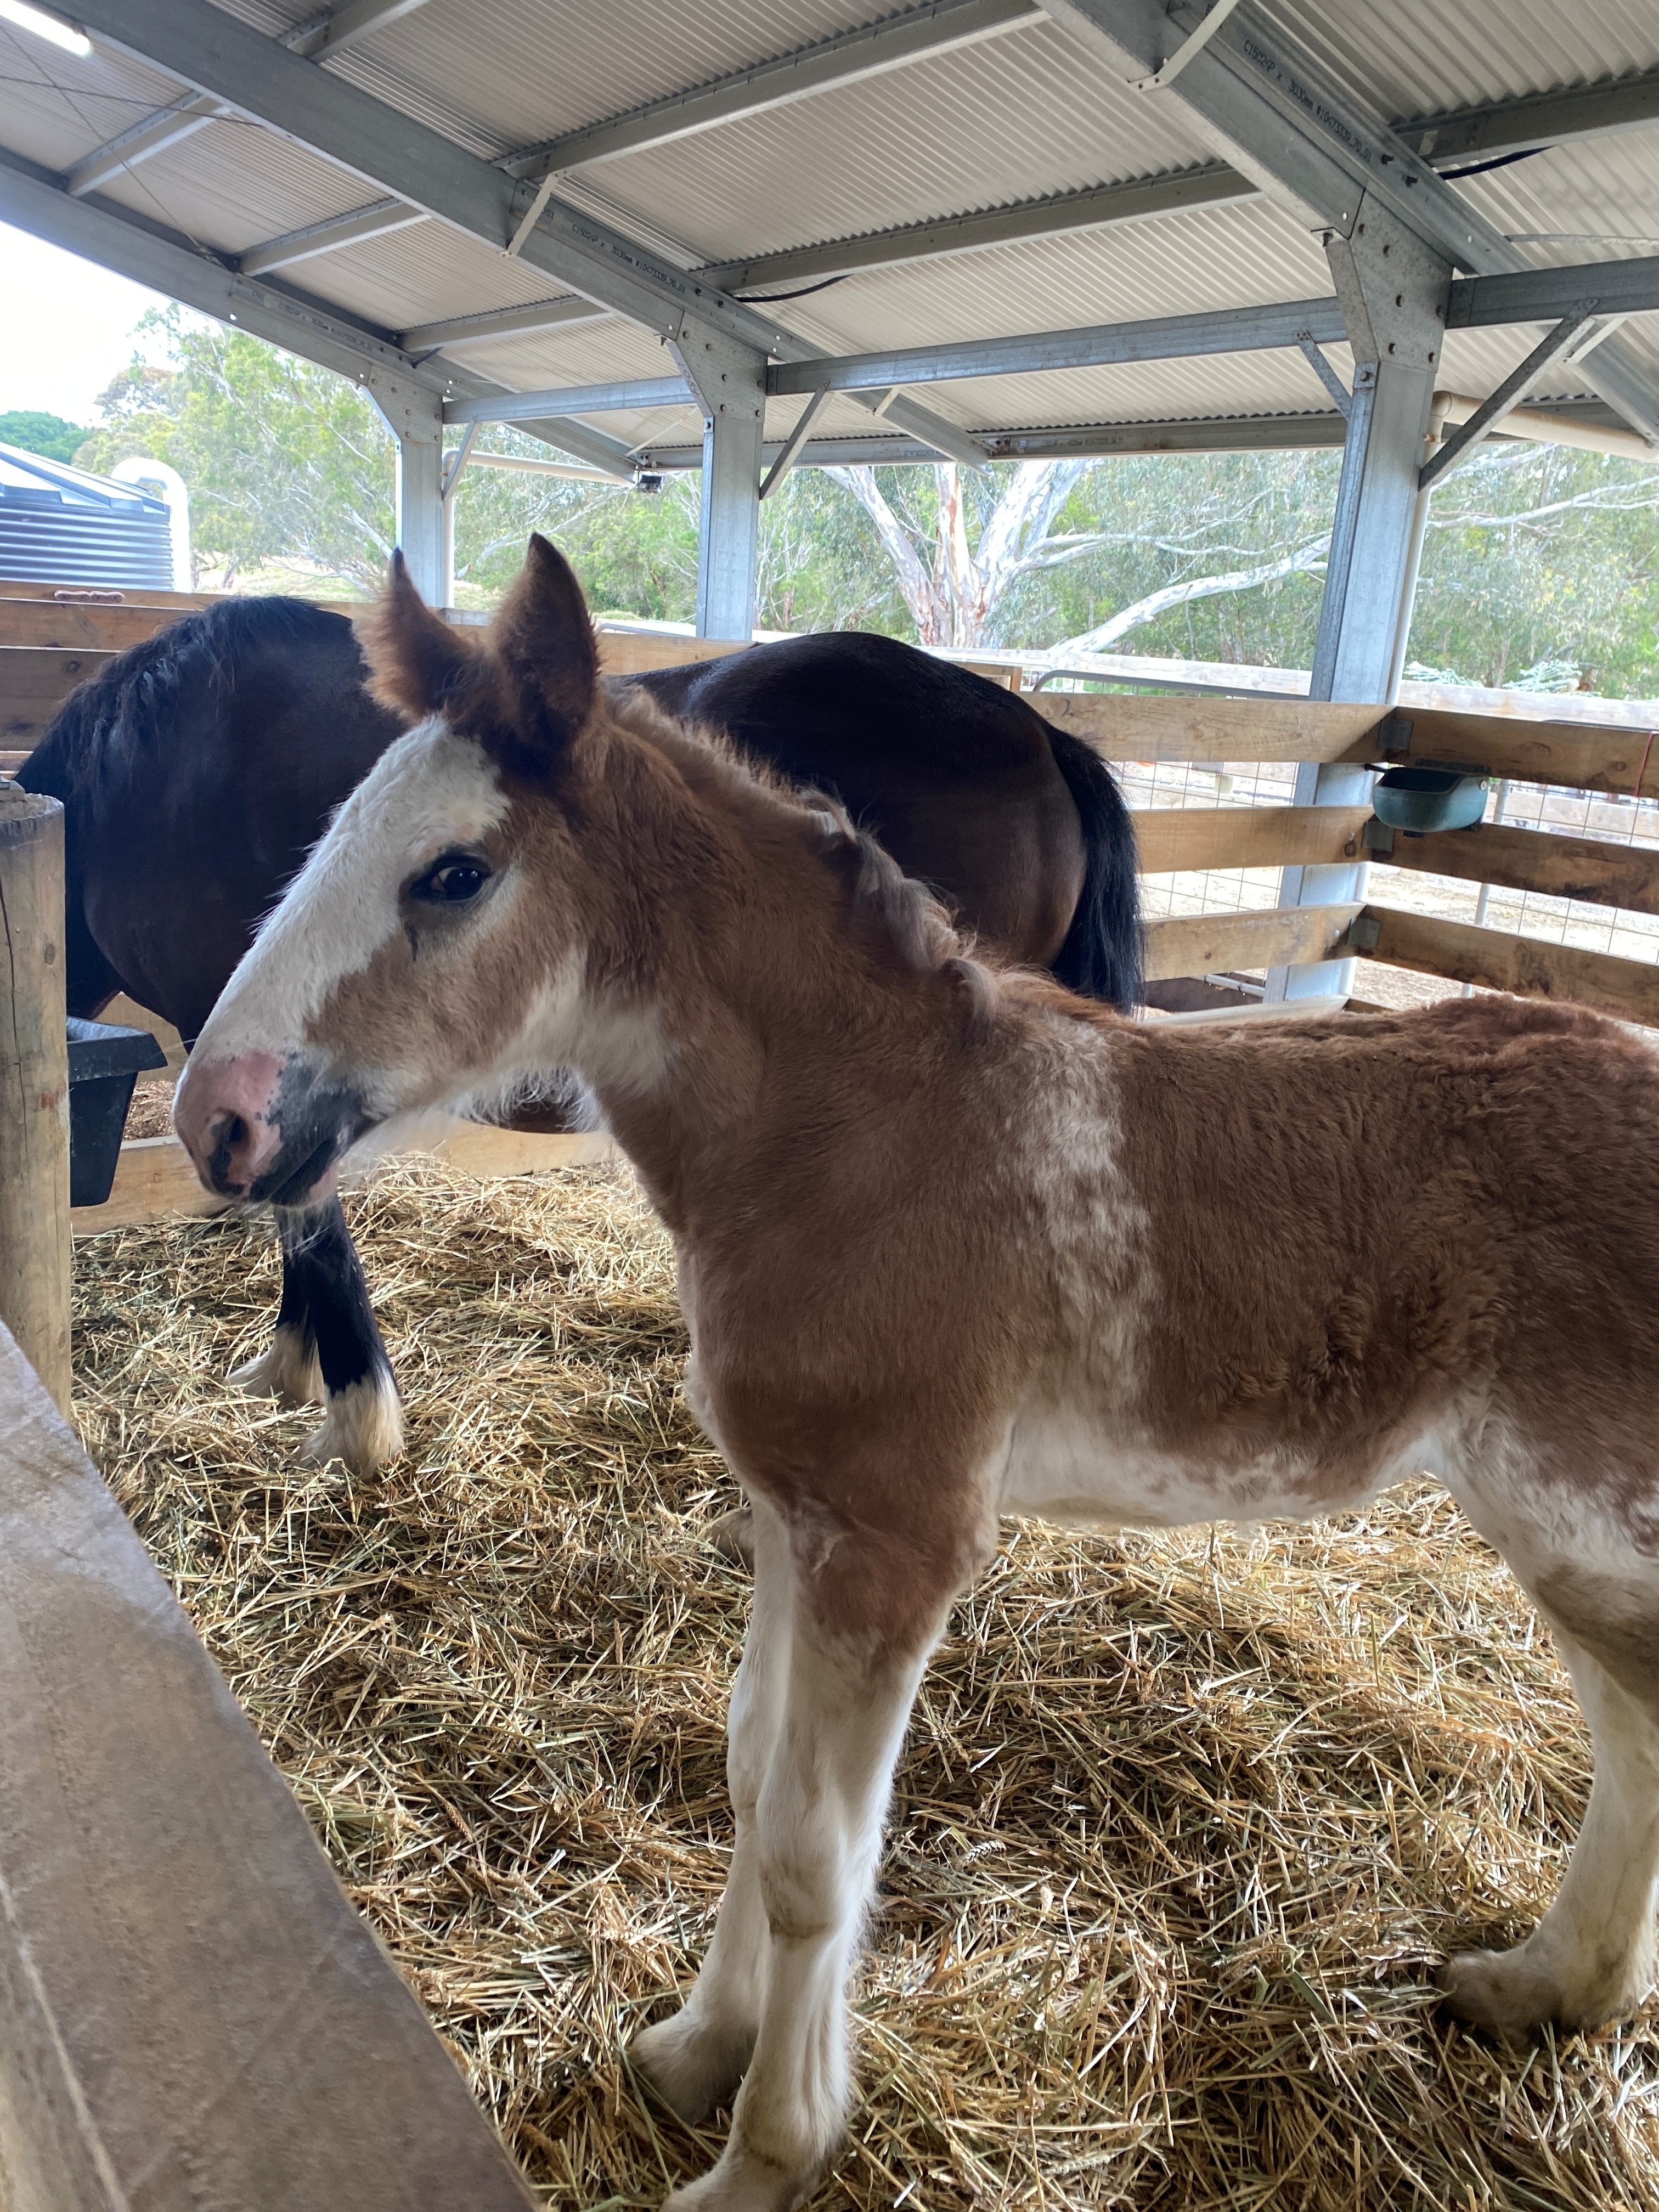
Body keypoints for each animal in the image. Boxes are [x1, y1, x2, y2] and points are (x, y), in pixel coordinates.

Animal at [176, 536, 1659, 2211]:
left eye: (451, 874)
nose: (212, 1117)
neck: (865, 1133)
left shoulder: (897, 1544)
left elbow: (820, 1856)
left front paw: (766, 2155)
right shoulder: (790, 1515)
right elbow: (753, 1779)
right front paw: (696, 2050)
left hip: (1587, 1522)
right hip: (1566, 1539)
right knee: (1632, 1740)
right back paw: (1546, 1987)